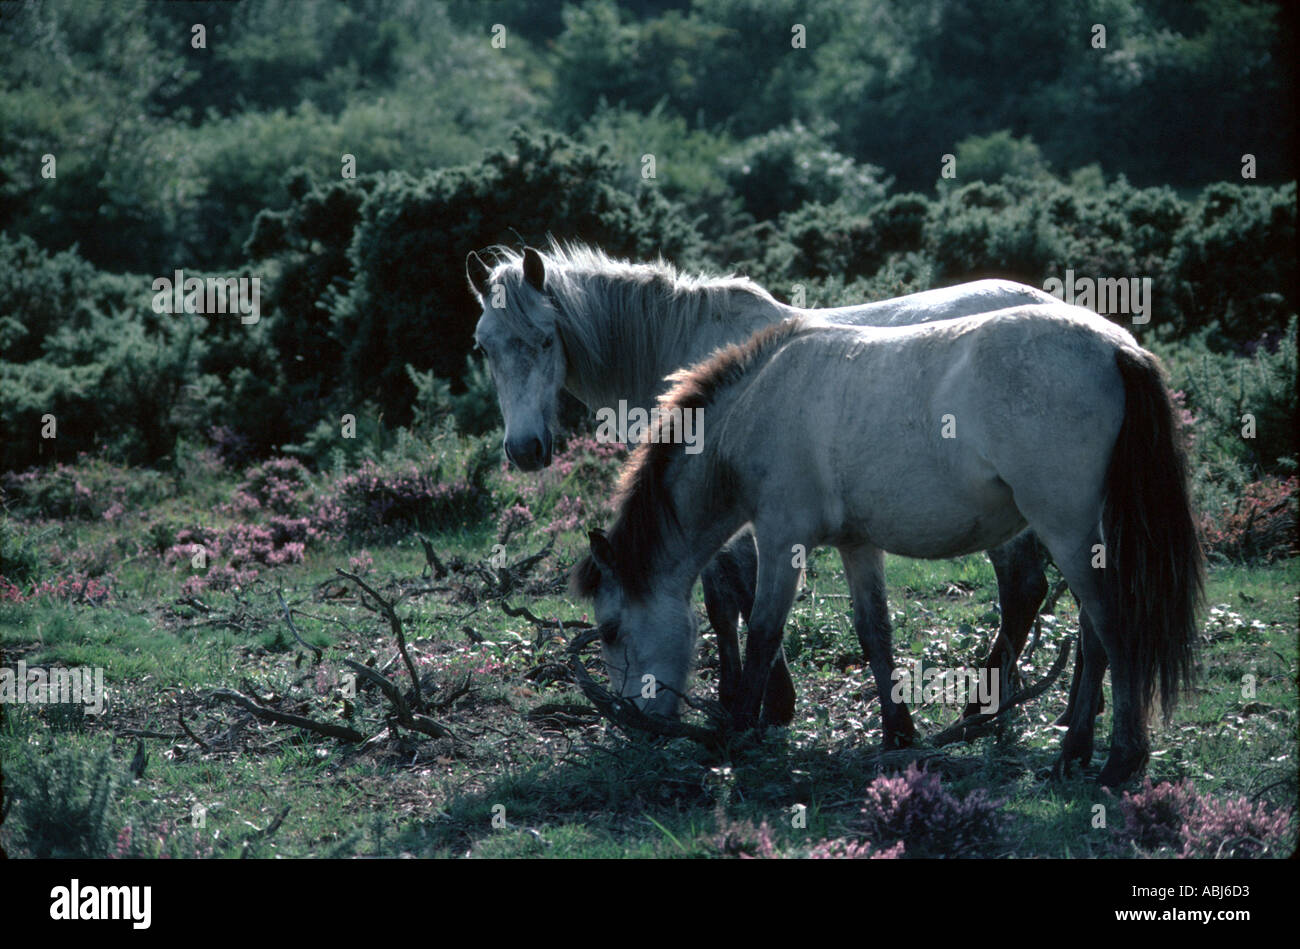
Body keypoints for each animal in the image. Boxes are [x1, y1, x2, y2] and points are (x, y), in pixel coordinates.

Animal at [466, 241, 1068, 725]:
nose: (524, 449)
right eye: (484, 346)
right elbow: (729, 599)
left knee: (1023, 588)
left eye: (546, 340)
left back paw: (984, 705)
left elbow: (737, 597)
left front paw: (762, 701)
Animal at [571, 309, 1204, 787]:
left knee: (1112, 627)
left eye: (610, 629)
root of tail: (1118, 348)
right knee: (1095, 634)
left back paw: (1117, 762)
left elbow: (764, 632)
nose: (635, 725)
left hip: (1066, 530)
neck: (753, 407)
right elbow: (874, 631)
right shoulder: (857, 545)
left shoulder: (781, 537)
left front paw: (739, 731)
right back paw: (1073, 753)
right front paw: (898, 732)